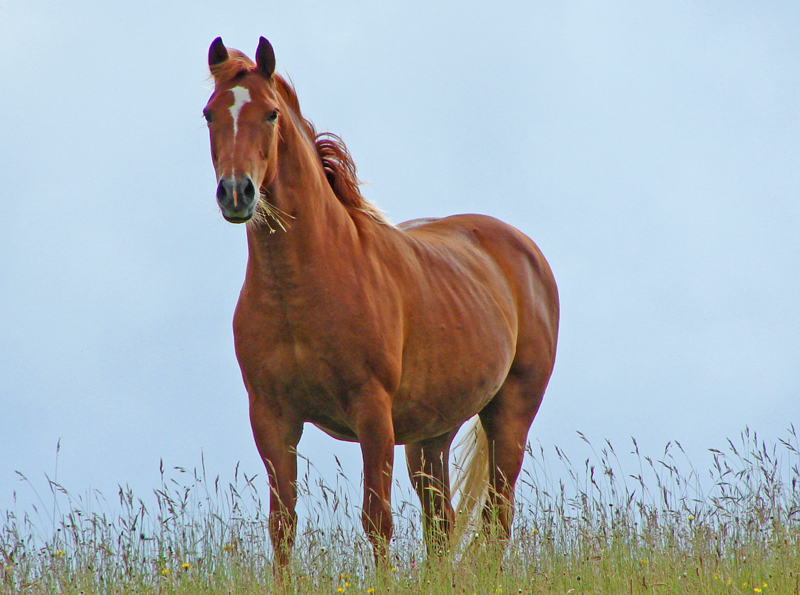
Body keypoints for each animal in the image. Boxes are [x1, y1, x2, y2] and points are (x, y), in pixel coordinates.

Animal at [202, 36, 559, 571]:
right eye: (209, 113)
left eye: (270, 114)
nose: (236, 192)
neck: (301, 287)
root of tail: (524, 250)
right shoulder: (271, 417)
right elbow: (282, 528)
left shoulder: (372, 413)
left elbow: (377, 521)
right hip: (431, 434)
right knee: (442, 523)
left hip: (510, 412)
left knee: (497, 516)